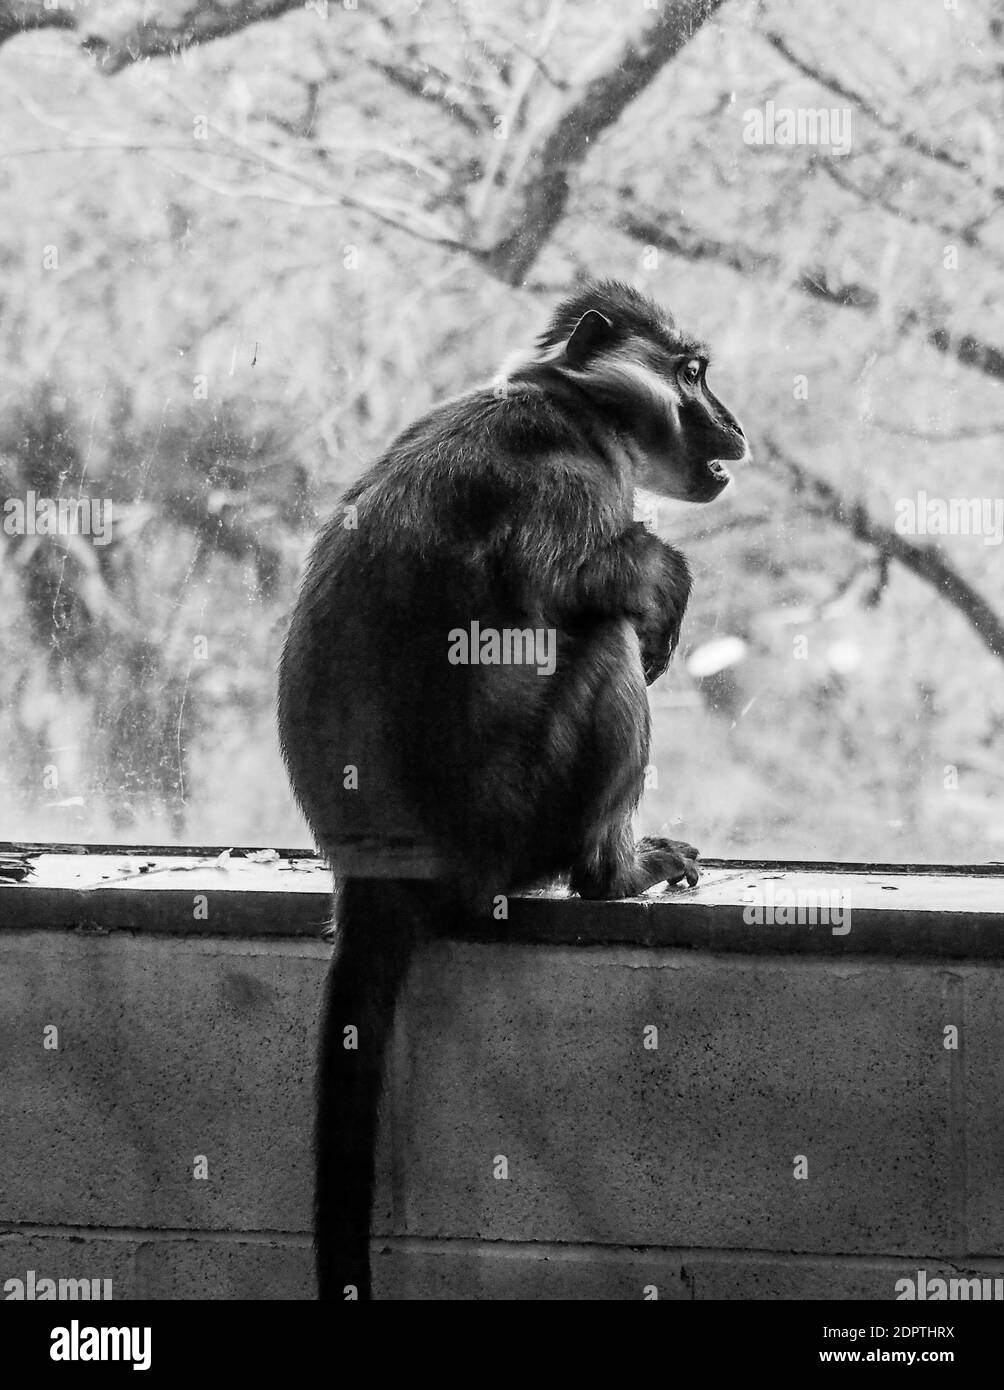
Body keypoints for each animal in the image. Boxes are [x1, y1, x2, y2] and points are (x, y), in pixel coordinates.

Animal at [277, 280, 748, 1300]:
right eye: (691, 373)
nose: (734, 425)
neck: (576, 404)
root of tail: (375, 872)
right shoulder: (562, 473)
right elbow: (585, 576)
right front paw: (666, 584)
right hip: (515, 820)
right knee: (603, 633)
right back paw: (617, 873)